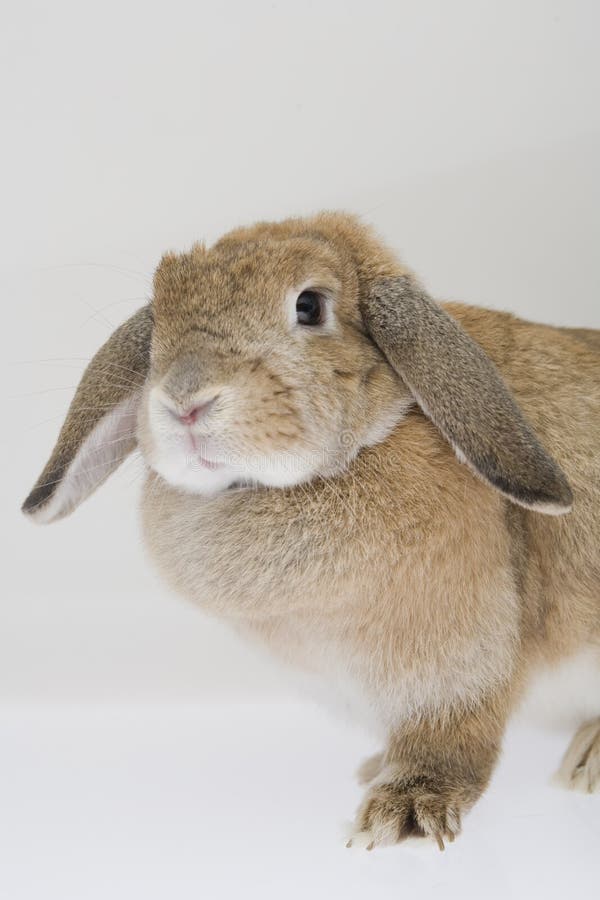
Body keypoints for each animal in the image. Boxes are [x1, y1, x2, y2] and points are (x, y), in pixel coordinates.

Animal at [22, 212, 600, 850]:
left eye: (309, 305)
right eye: (159, 319)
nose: (184, 402)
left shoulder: (460, 667)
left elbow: (451, 741)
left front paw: (402, 814)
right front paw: (376, 770)